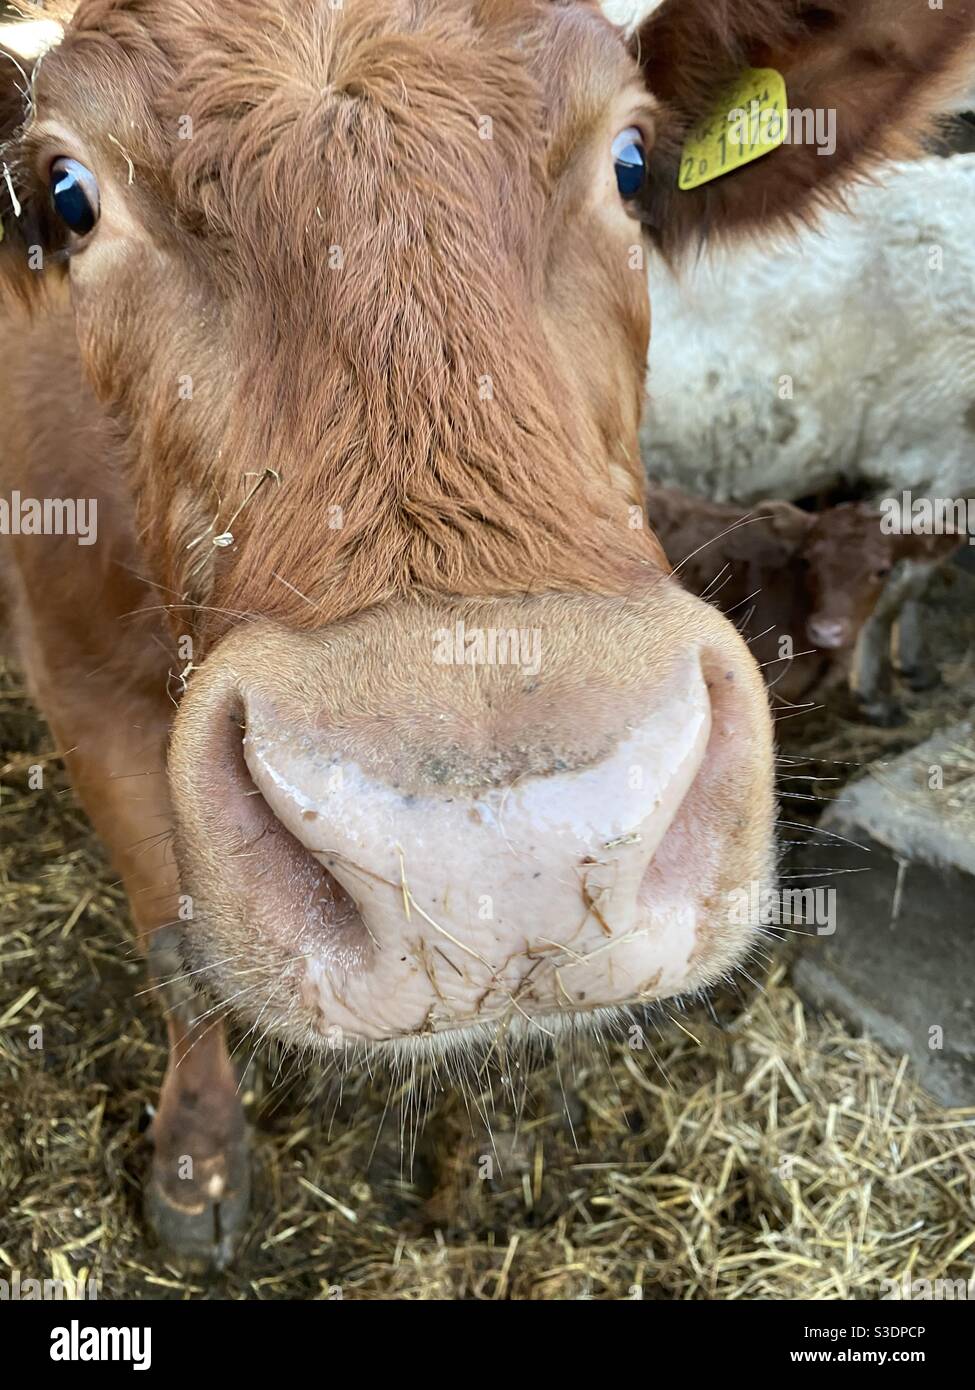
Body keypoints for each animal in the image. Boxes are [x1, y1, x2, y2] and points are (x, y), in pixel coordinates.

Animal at [2, 0, 973, 1268]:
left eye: (631, 161)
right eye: (68, 194)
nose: (494, 861)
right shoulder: (73, 674)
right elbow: (175, 942)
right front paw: (198, 1164)